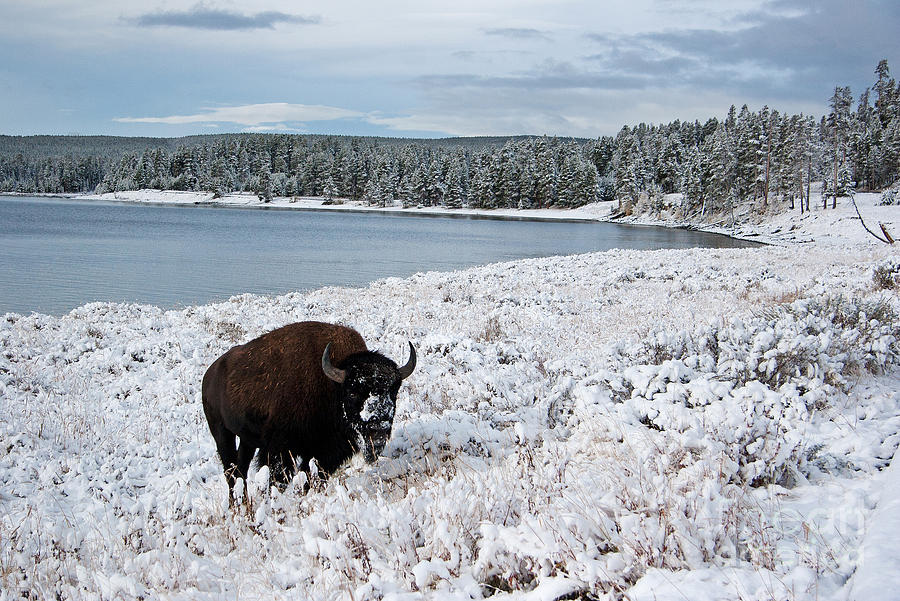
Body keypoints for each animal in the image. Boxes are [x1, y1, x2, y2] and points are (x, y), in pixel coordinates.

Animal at [201, 321, 416, 503]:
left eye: (394, 391)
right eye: (353, 391)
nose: (378, 430)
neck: (331, 386)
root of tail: (210, 375)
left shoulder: (322, 454)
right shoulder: (280, 451)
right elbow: (279, 480)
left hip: (247, 439)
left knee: (240, 469)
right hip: (221, 432)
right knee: (230, 471)